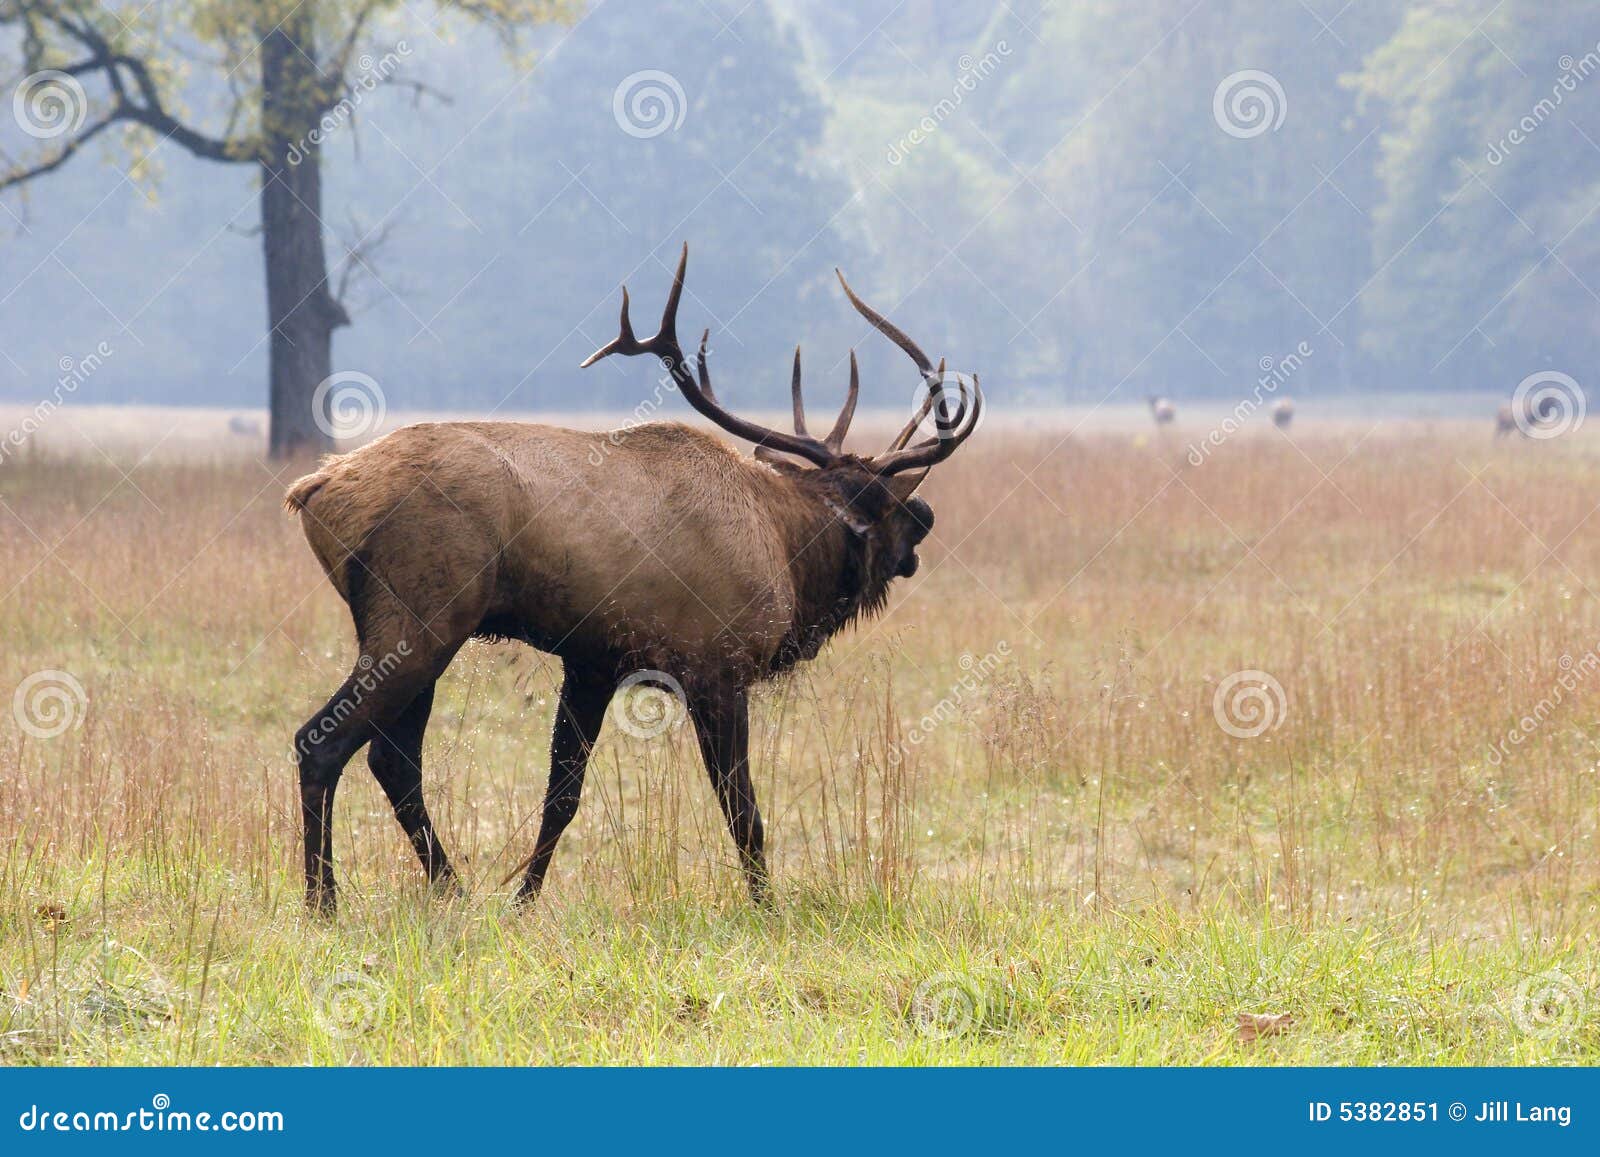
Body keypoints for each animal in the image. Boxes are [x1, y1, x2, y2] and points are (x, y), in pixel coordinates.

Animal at [282, 245, 980, 915]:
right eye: (883, 497)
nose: (926, 514)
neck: (785, 547)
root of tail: (314, 490)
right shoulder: (717, 667)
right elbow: (743, 810)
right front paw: (768, 906)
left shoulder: (593, 662)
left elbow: (561, 798)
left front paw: (523, 903)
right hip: (420, 620)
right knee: (323, 741)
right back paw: (324, 902)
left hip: (416, 632)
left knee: (392, 758)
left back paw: (452, 891)